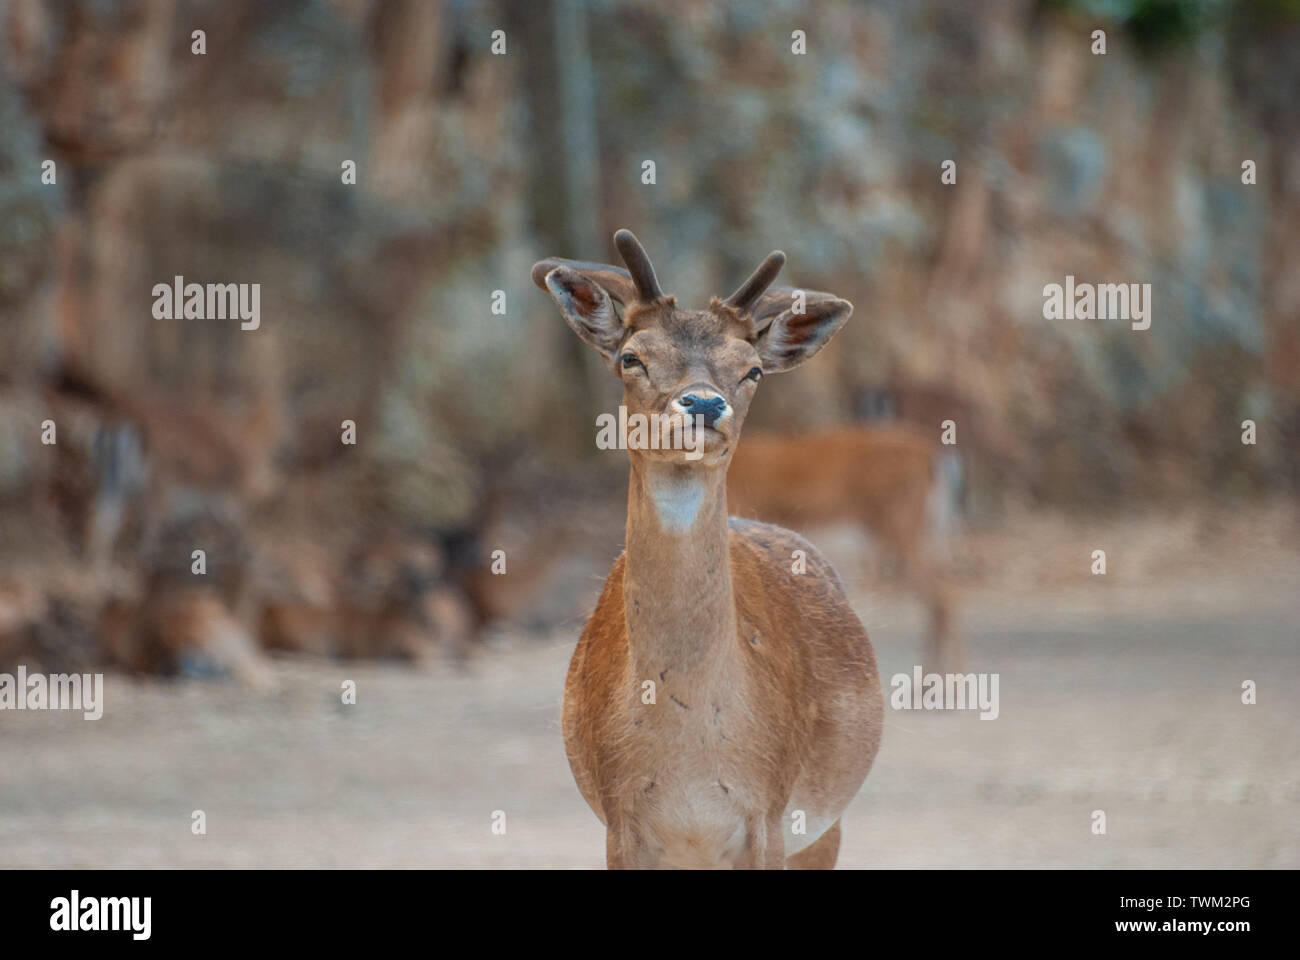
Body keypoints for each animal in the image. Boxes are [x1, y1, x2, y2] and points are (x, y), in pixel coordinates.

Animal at [533, 230, 883, 869]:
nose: (701, 403)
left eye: (753, 370)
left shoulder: (769, 811)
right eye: (631, 357)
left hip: (825, 824)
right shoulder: (620, 822)